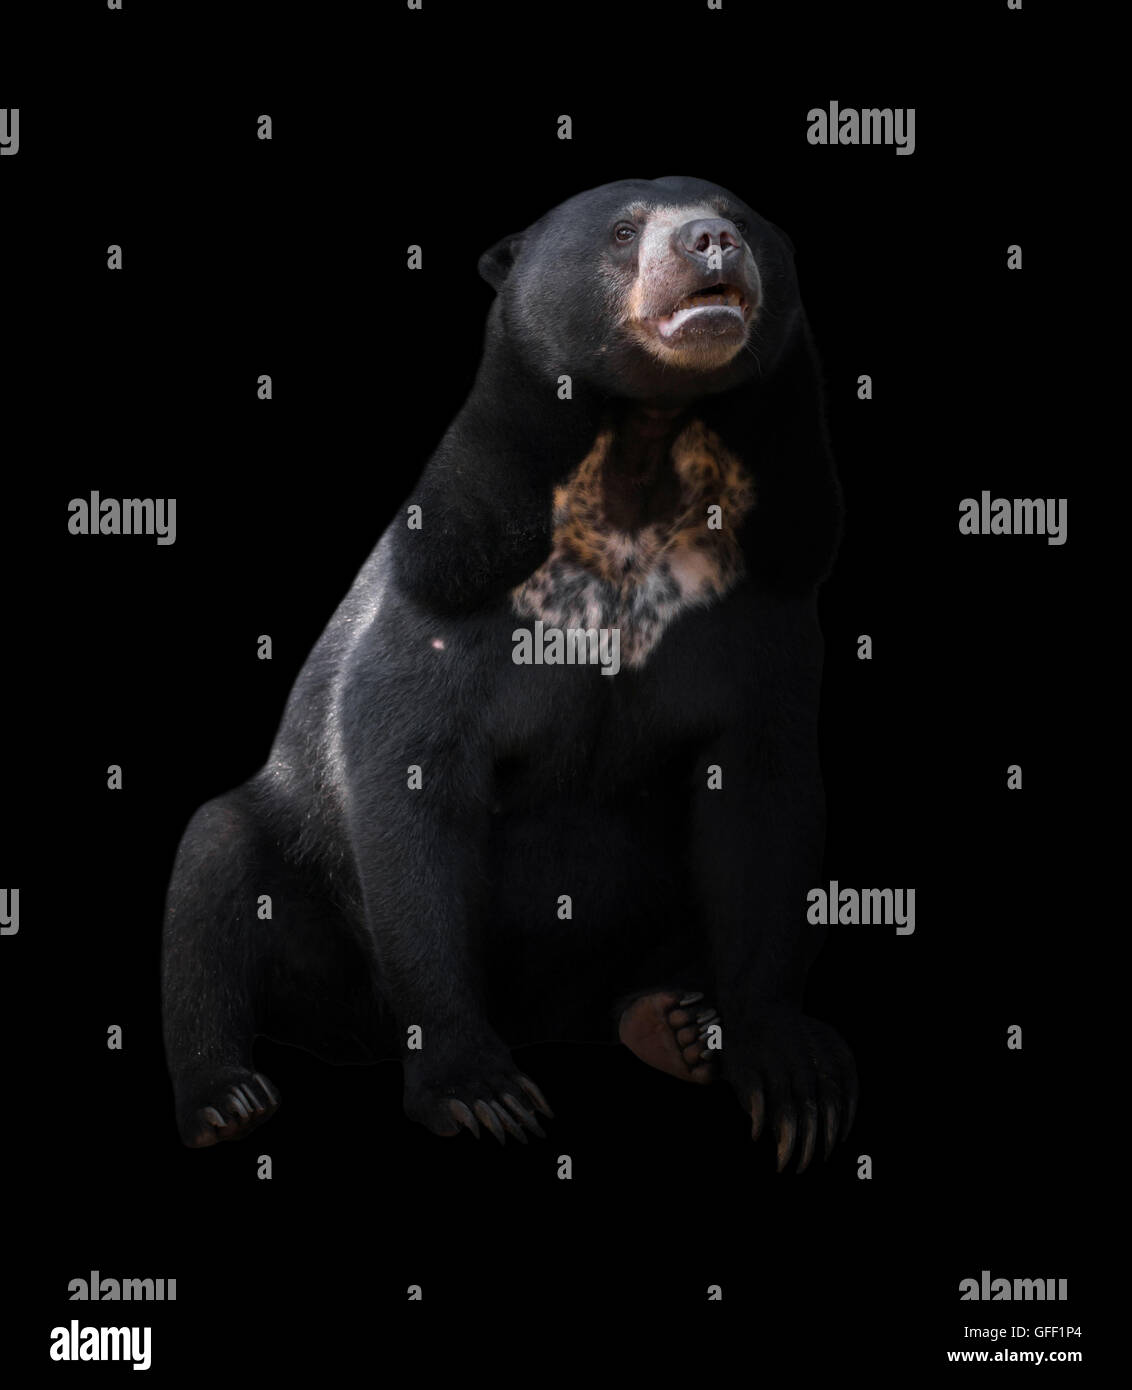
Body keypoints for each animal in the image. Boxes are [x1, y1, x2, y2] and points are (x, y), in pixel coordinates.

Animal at [161, 175, 856, 1173]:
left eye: (740, 219)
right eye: (622, 232)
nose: (711, 242)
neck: (640, 465)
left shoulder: (762, 599)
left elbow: (762, 799)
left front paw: (794, 1081)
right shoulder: (457, 591)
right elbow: (413, 785)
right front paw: (480, 1094)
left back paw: (674, 1025)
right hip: (313, 896)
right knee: (215, 866)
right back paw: (227, 1101)